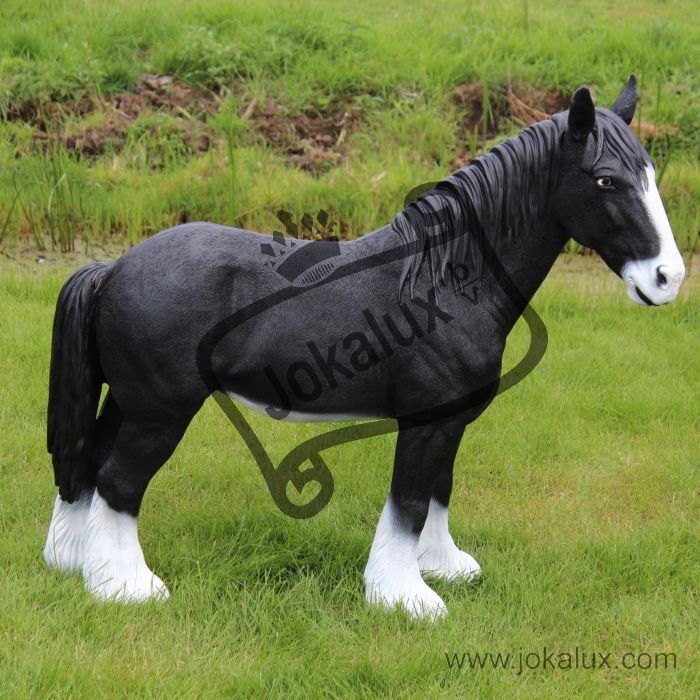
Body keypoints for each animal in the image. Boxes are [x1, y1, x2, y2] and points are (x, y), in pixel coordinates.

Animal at [44, 75, 685, 619]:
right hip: (159, 412)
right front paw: (405, 598)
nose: (668, 277)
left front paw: (445, 568)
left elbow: (438, 491)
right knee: (119, 483)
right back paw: (127, 588)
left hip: (126, 402)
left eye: (650, 173)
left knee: (87, 467)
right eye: (605, 180)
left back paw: (80, 567)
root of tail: (113, 268)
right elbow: (410, 504)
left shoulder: (449, 420)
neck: (446, 281)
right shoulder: (426, 422)